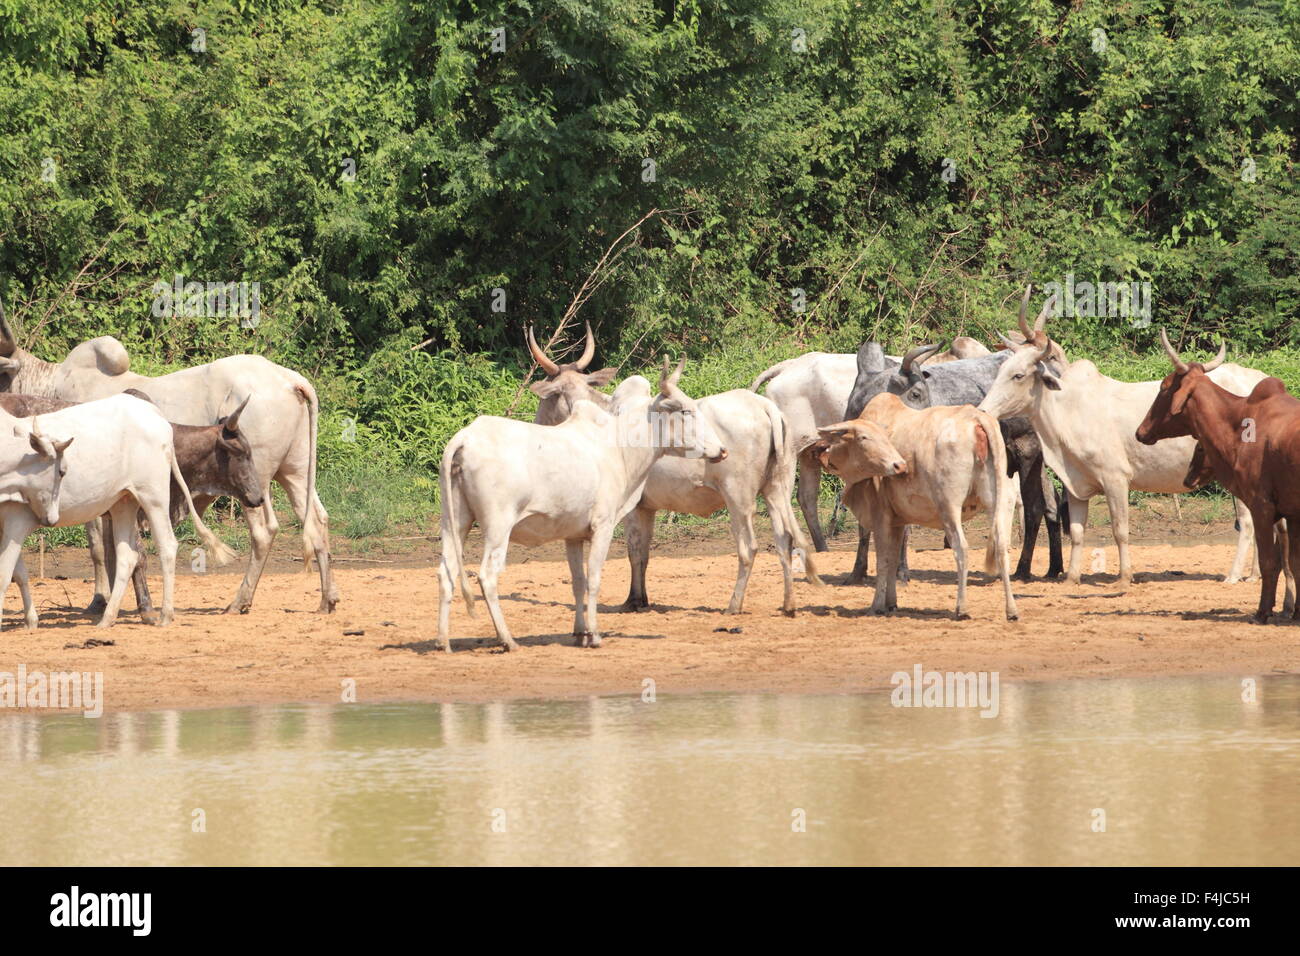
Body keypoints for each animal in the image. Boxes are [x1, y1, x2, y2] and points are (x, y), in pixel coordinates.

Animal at [437, 359, 727, 652]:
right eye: (685, 410)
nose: (722, 450)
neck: (620, 448)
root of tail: (465, 438)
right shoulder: (603, 526)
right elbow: (594, 580)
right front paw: (595, 634)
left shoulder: (573, 535)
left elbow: (578, 582)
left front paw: (579, 632)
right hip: (498, 526)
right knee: (487, 576)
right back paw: (507, 639)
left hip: (455, 523)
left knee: (446, 573)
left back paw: (443, 642)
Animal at [621, 388, 821, 616]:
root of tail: (762, 404)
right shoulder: (646, 507)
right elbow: (644, 554)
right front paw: (642, 599)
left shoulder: (631, 507)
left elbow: (634, 553)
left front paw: (633, 600)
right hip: (777, 488)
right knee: (784, 540)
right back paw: (788, 604)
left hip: (737, 496)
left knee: (749, 548)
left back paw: (734, 605)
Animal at [813, 392, 1019, 621]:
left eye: (864, 438)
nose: (821, 452)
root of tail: (975, 418)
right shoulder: (898, 521)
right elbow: (893, 558)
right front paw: (891, 603)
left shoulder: (881, 516)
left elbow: (883, 561)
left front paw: (877, 606)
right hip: (1001, 502)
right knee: (1002, 547)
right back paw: (1011, 610)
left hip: (949, 506)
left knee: (962, 549)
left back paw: (961, 608)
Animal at [978, 313, 1270, 587]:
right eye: (1001, 371)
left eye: (1018, 375)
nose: (983, 410)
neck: (1067, 409)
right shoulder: (1075, 484)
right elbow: (1077, 532)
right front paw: (1071, 578)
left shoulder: (1115, 478)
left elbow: (1120, 530)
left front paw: (1124, 577)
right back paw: (1255, 575)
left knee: (1246, 523)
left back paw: (1234, 575)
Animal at [1136, 332, 1300, 622]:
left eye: (1164, 387)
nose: (1141, 431)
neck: (1238, 424)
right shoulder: (1291, 514)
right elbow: (1294, 563)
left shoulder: (1262, 506)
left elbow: (1270, 562)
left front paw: (1262, 611)